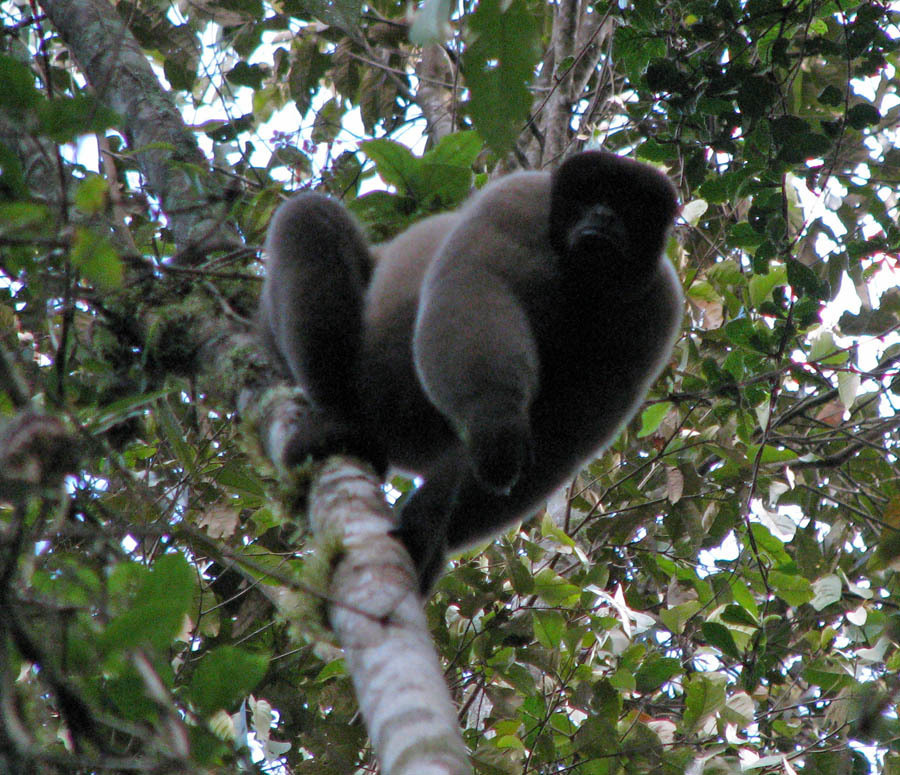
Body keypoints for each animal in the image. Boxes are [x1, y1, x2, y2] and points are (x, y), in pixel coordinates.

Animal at [260, 150, 682, 594]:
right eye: (590, 196)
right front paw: (496, 422)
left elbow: (560, 435)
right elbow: (473, 280)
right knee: (308, 214)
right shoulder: (521, 199)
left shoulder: (658, 308)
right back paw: (337, 418)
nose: (602, 214)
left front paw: (428, 524)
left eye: (626, 205)